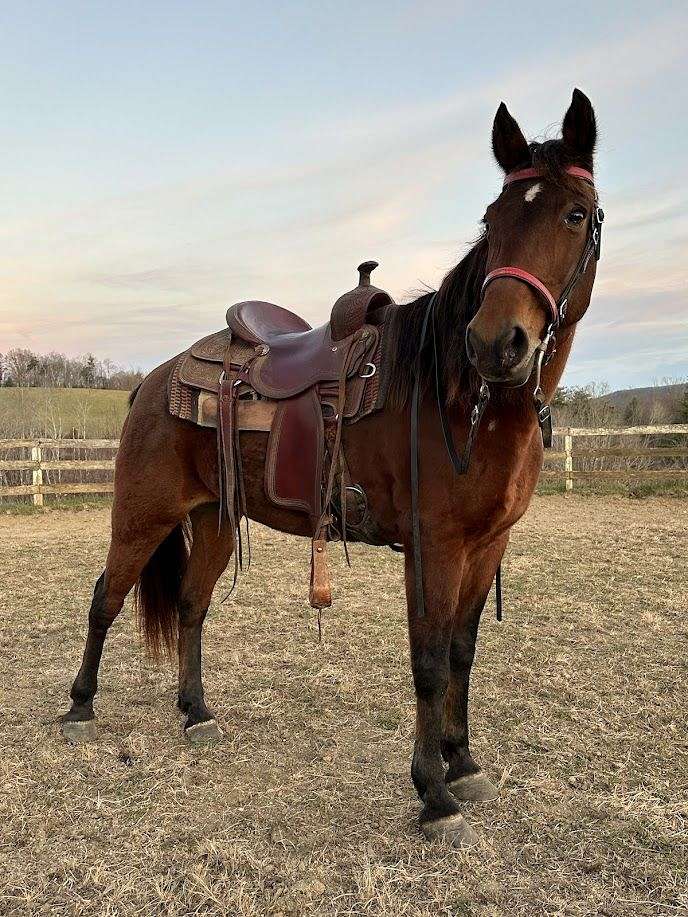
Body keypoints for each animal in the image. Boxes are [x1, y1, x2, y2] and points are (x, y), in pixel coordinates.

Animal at [62, 89, 602, 847]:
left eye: (574, 215)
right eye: (492, 221)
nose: (497, 343)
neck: (457, 394)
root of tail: (153, 380)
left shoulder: (488, 544)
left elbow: (462, 652)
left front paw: (463, 762)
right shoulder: (435, 547)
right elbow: (429, 660)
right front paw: (434, 793)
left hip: (214, 517)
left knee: (193, 605)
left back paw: (196, 712)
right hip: (142, 513)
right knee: (104, 597)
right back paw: (80, 708)